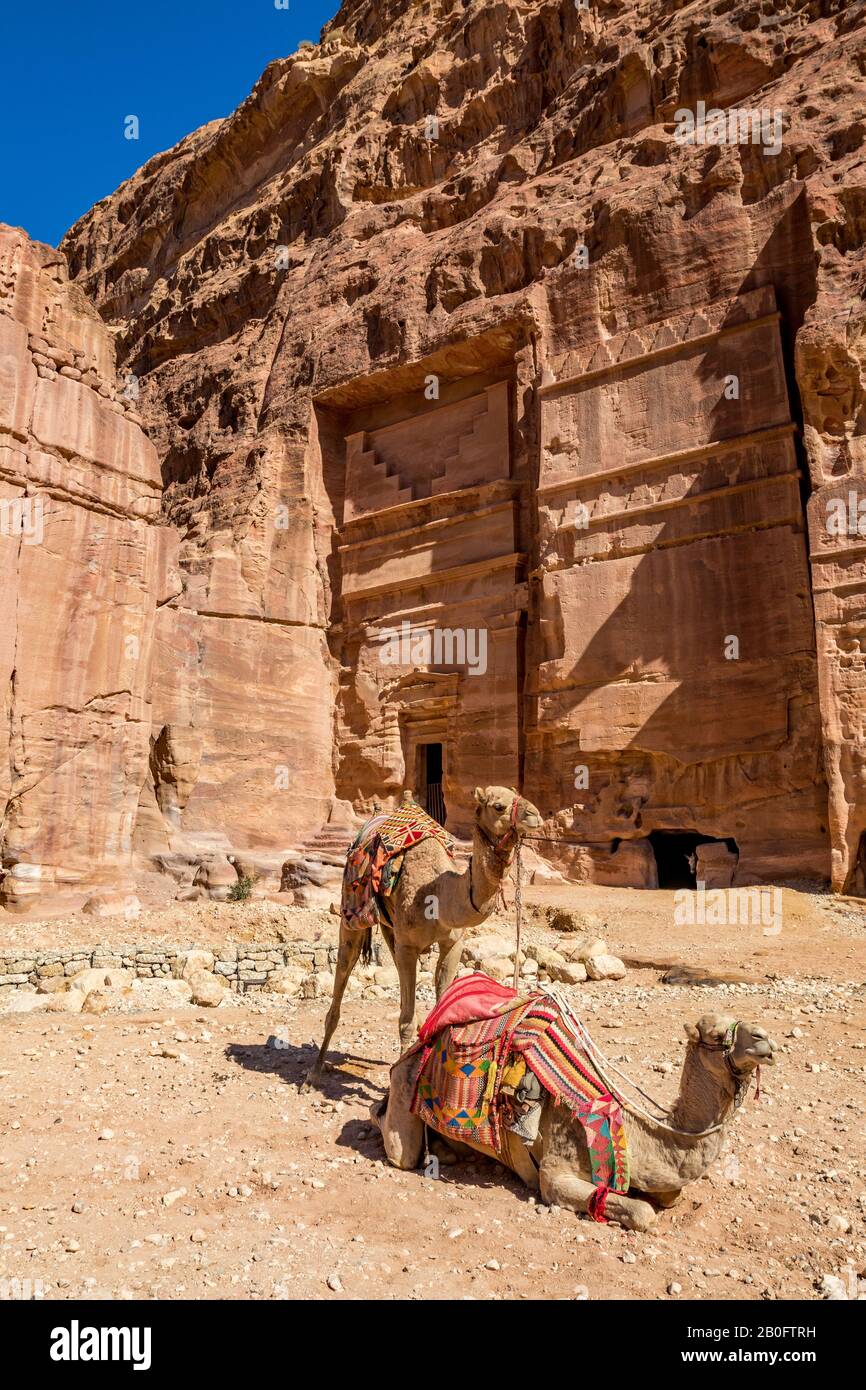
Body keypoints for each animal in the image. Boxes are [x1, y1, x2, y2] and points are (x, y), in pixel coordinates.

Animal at [308, 786, 542, 1082]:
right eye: (499, 806)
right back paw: (313, 1073)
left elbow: (442, 1013)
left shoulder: (453, 943)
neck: (438, 895)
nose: (535, 815)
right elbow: (405, 1023)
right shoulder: (408, 945)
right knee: (343, 970)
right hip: (351, 916)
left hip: (390, 928)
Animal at [373, 1011, 776, 1229]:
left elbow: (671, 1196)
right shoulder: (556, 1171)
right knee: (397, 1144)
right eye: (717, 1034)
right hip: (404, 1090)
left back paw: (450, 1152)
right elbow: (642, 1212)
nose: (766, 1041)